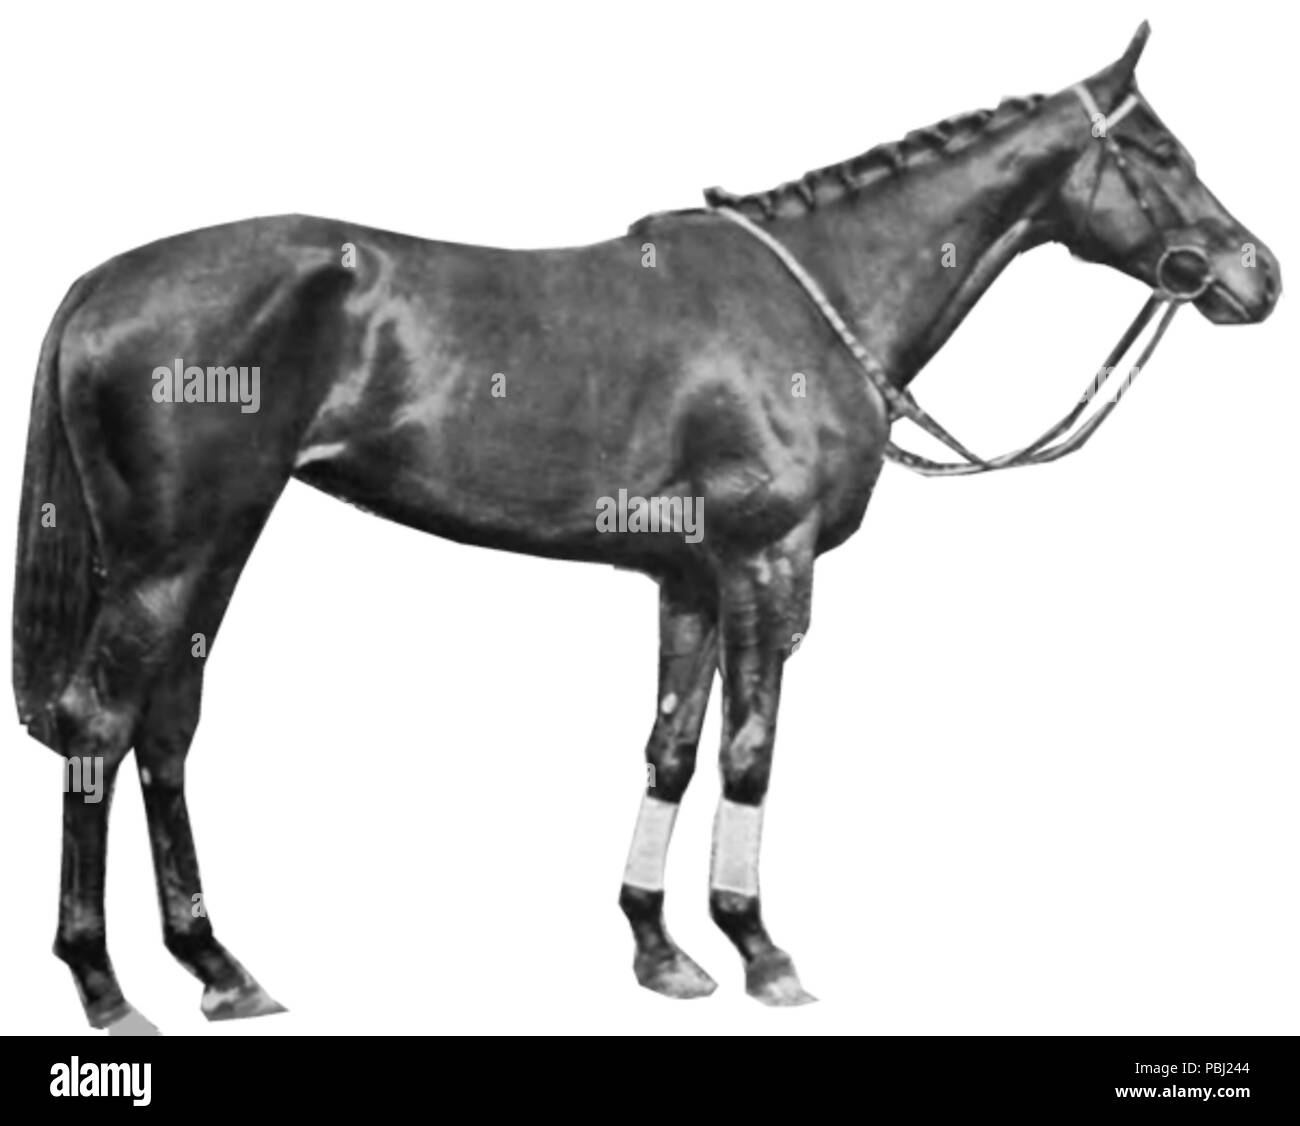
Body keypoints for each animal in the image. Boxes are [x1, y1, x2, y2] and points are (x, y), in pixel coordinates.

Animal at [13, 23, 1279, 1032]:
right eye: (1159, 151)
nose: (1255, 274)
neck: (815, 297)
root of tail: (99, 284)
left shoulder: (689, 578)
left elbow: (671, 743)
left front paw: (659, 949)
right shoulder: (768, 567)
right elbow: (750, 750)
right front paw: (760, 950)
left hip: (217, 544)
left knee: (165, 729)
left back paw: (218, 968)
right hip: (171, 555)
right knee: (100, 723)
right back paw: (105, 984)